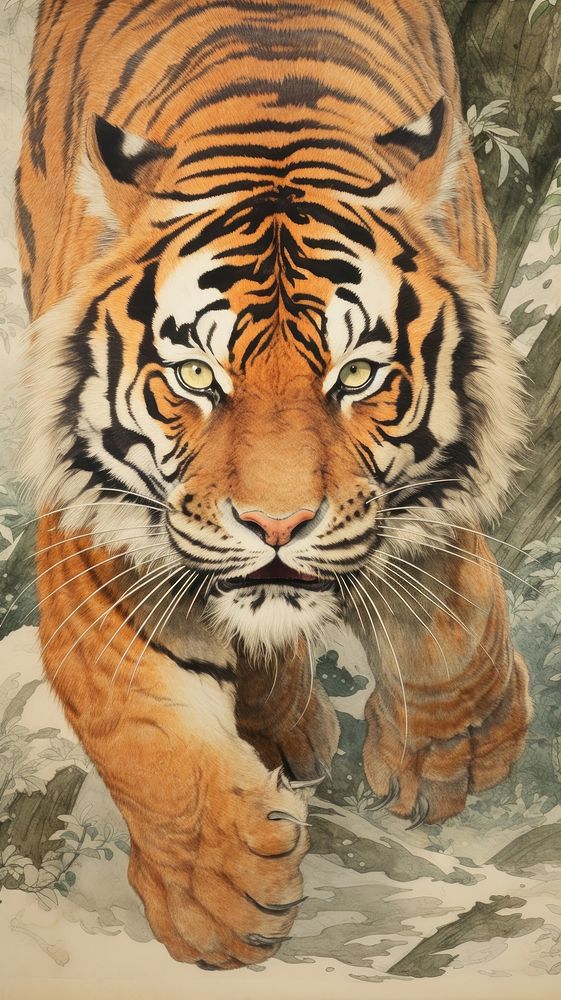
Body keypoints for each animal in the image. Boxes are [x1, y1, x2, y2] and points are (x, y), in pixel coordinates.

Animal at [16, 0, 531, 971]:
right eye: (195, 376)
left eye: (357, 375)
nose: (277, 524)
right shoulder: (96, 534)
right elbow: (129, 724)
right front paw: (217, 898)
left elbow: (450, 612)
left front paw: (448, 755)